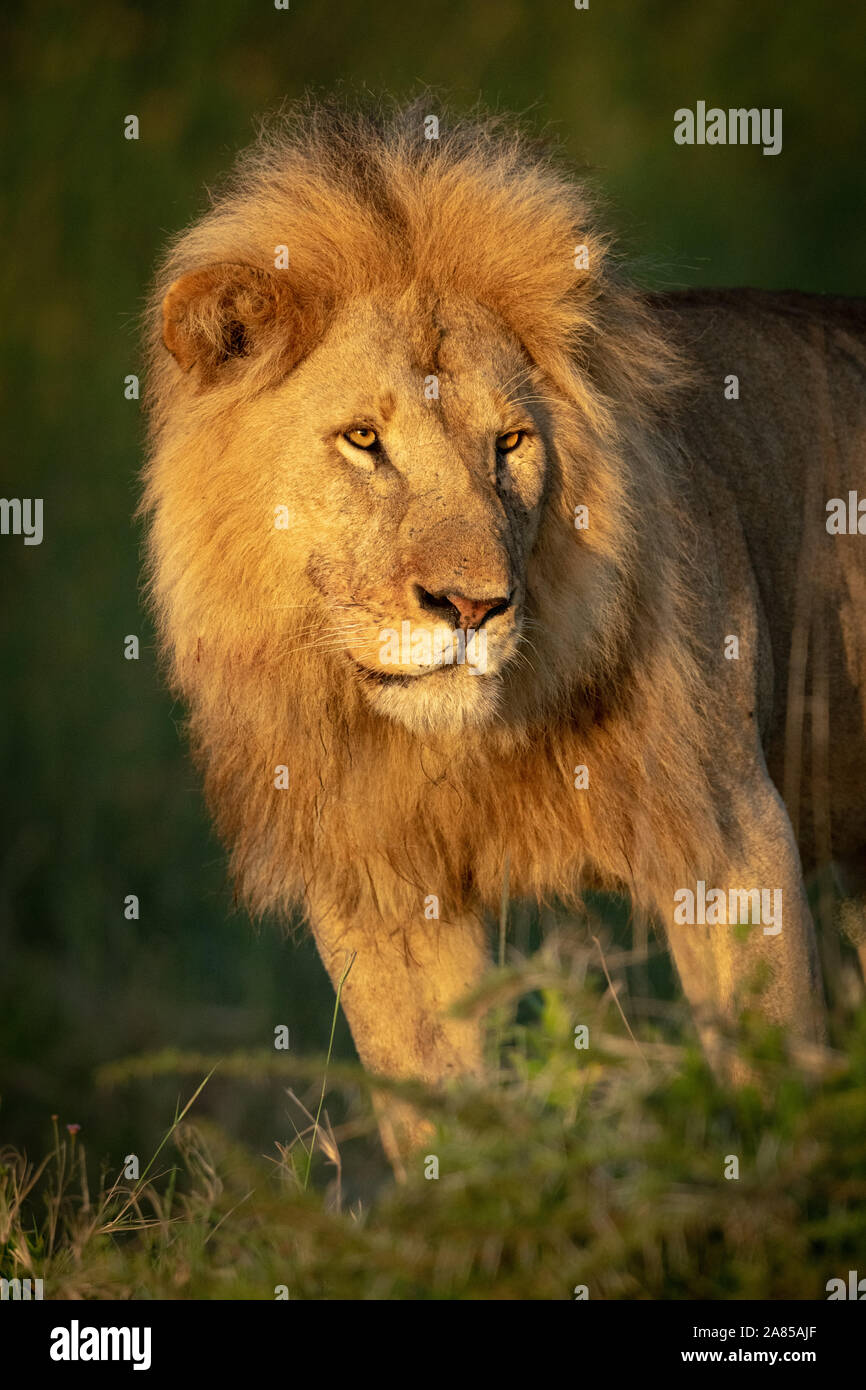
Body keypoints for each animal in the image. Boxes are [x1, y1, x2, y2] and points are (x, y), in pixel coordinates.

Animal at [142, 98, 866, 1171]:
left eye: (511, 443)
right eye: (364, 440)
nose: (473, 607)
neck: (456, 747)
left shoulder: (728, 828)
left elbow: (765, 1077)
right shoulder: (379, 892)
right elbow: (434, 1112)